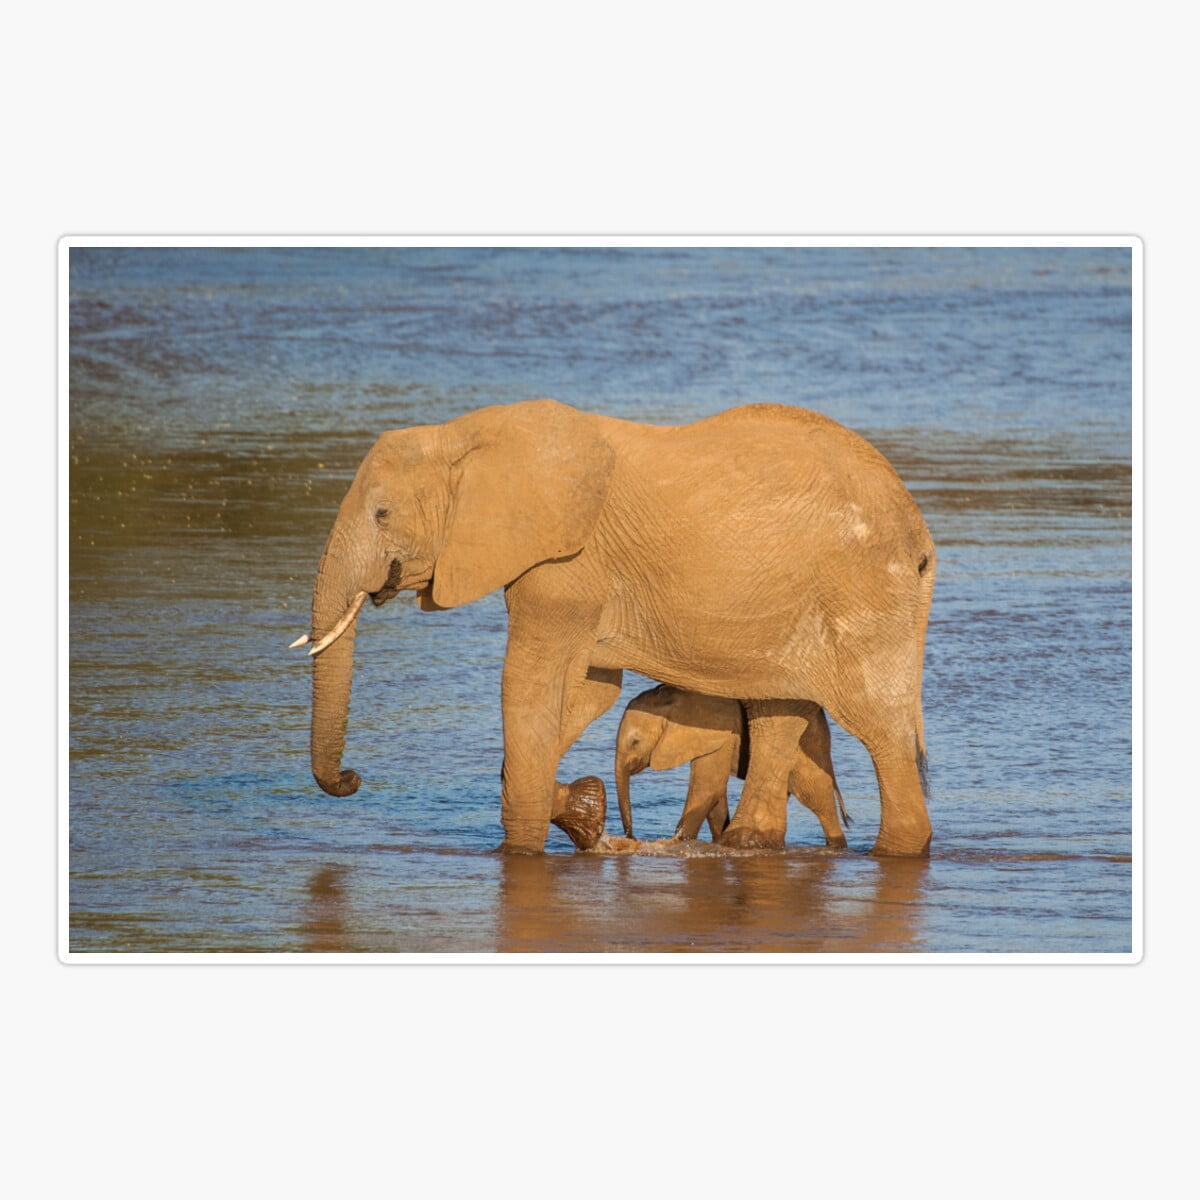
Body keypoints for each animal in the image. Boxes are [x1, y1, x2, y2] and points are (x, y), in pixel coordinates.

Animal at [614, 685, 850, 847]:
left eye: (635, 742)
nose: (632, 837)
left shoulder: (718, 733)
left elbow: (708, 789)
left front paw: (680, 842)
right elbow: (716, 795)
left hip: (806, 756)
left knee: (817, 799)